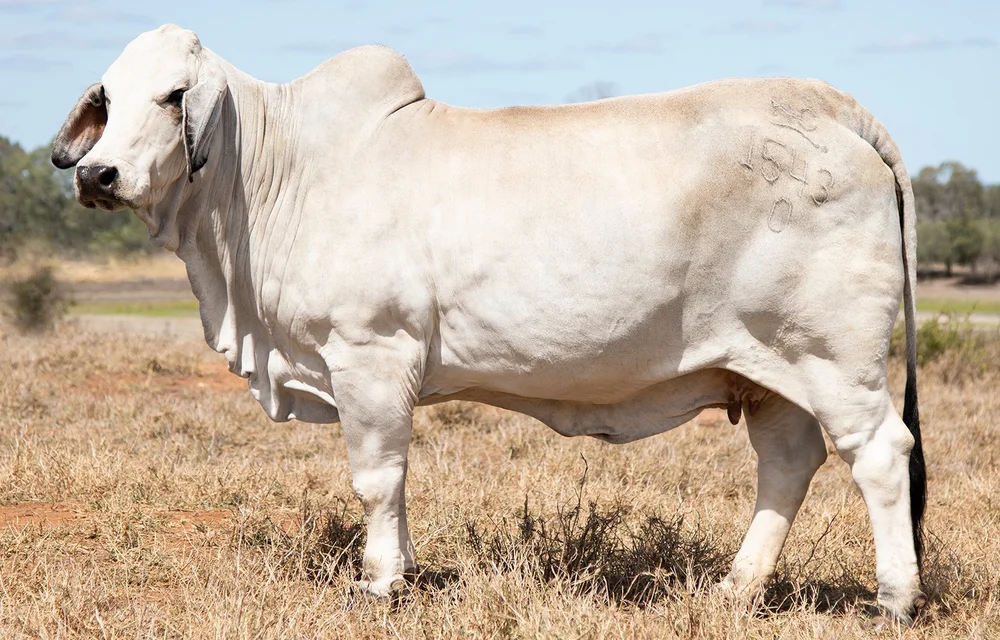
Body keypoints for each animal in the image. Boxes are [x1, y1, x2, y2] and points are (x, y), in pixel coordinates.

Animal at [51, 24, 926, 623]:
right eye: (108, 97)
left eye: (174, 96)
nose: (99, 173)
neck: (277, 171)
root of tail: (831, 107)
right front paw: (402, 568)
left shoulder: (368, 355)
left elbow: (378, 478)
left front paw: (378, 582)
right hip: (768, 368)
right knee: (787, 463)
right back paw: (735, 589)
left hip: (836, 358)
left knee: (881, 455)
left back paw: (894, 599)